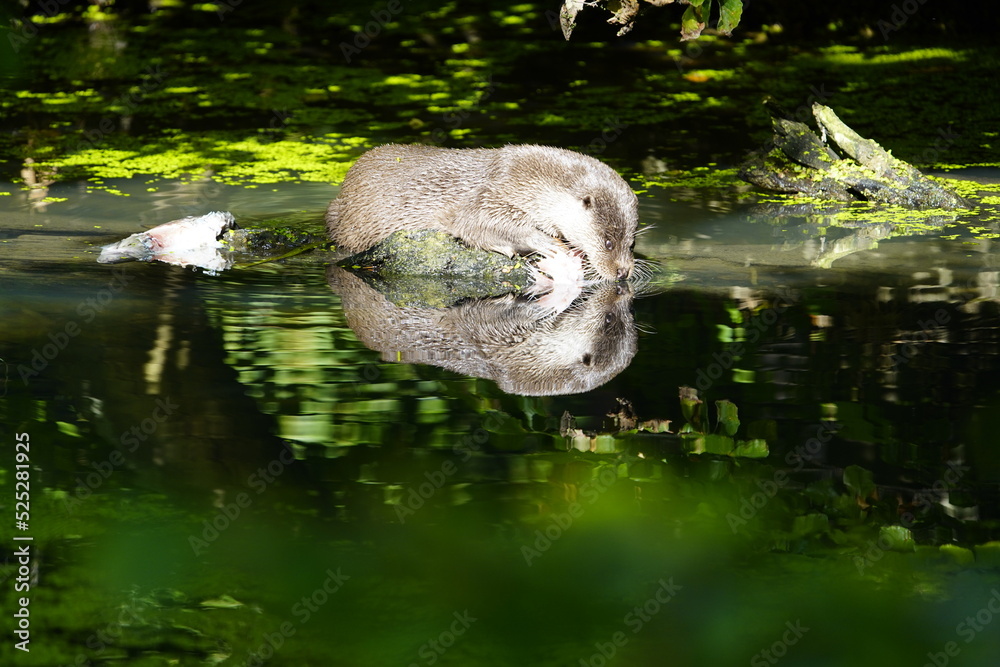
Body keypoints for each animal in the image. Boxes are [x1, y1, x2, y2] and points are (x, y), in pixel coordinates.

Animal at [325, 144, 639, 281]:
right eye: (608, 242)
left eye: (632, 243)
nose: (623, 272)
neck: (533, 183)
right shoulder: (486, 196)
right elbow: (476, 224)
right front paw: (544, 242)